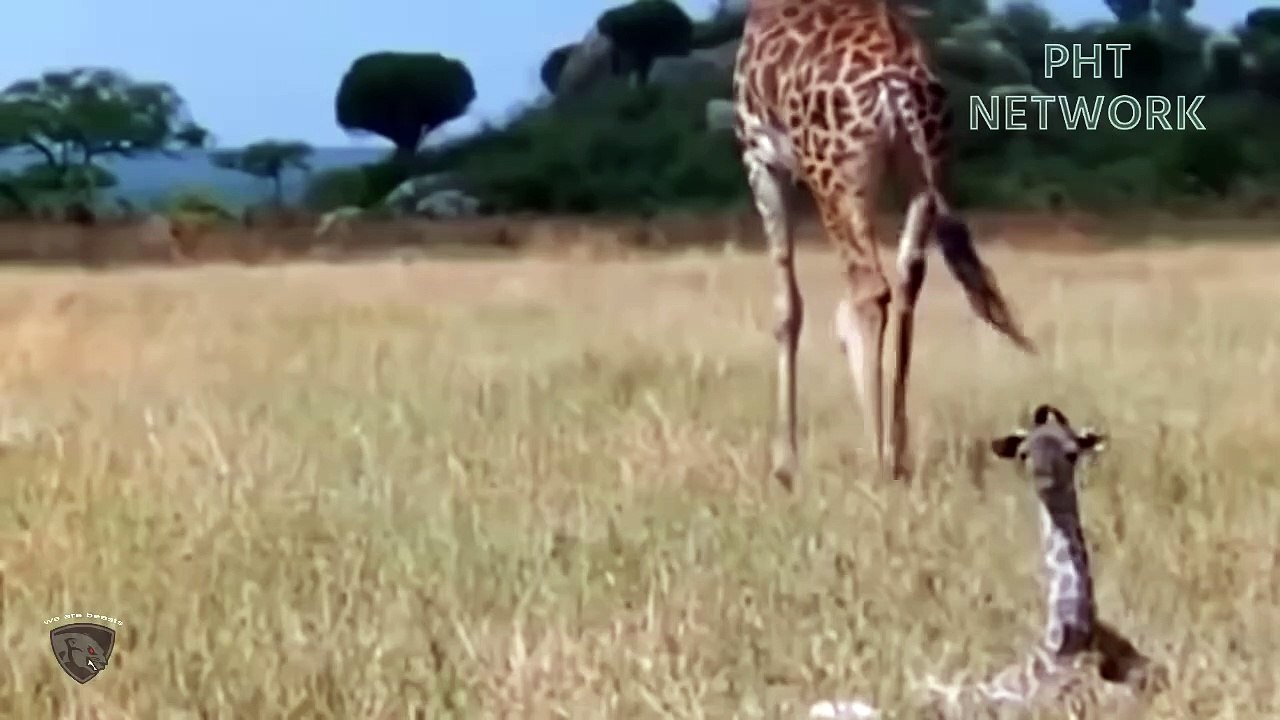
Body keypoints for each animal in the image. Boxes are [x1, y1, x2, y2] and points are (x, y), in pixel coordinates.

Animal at [732, 0, 1036, 484]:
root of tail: (900, 81)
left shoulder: (761, 158)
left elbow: (787, 310)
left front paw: (785, 464)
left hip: (834, 176)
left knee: (869, 291)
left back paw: (875, 459)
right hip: (923, 177)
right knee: (908, 285)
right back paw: (897, 455)